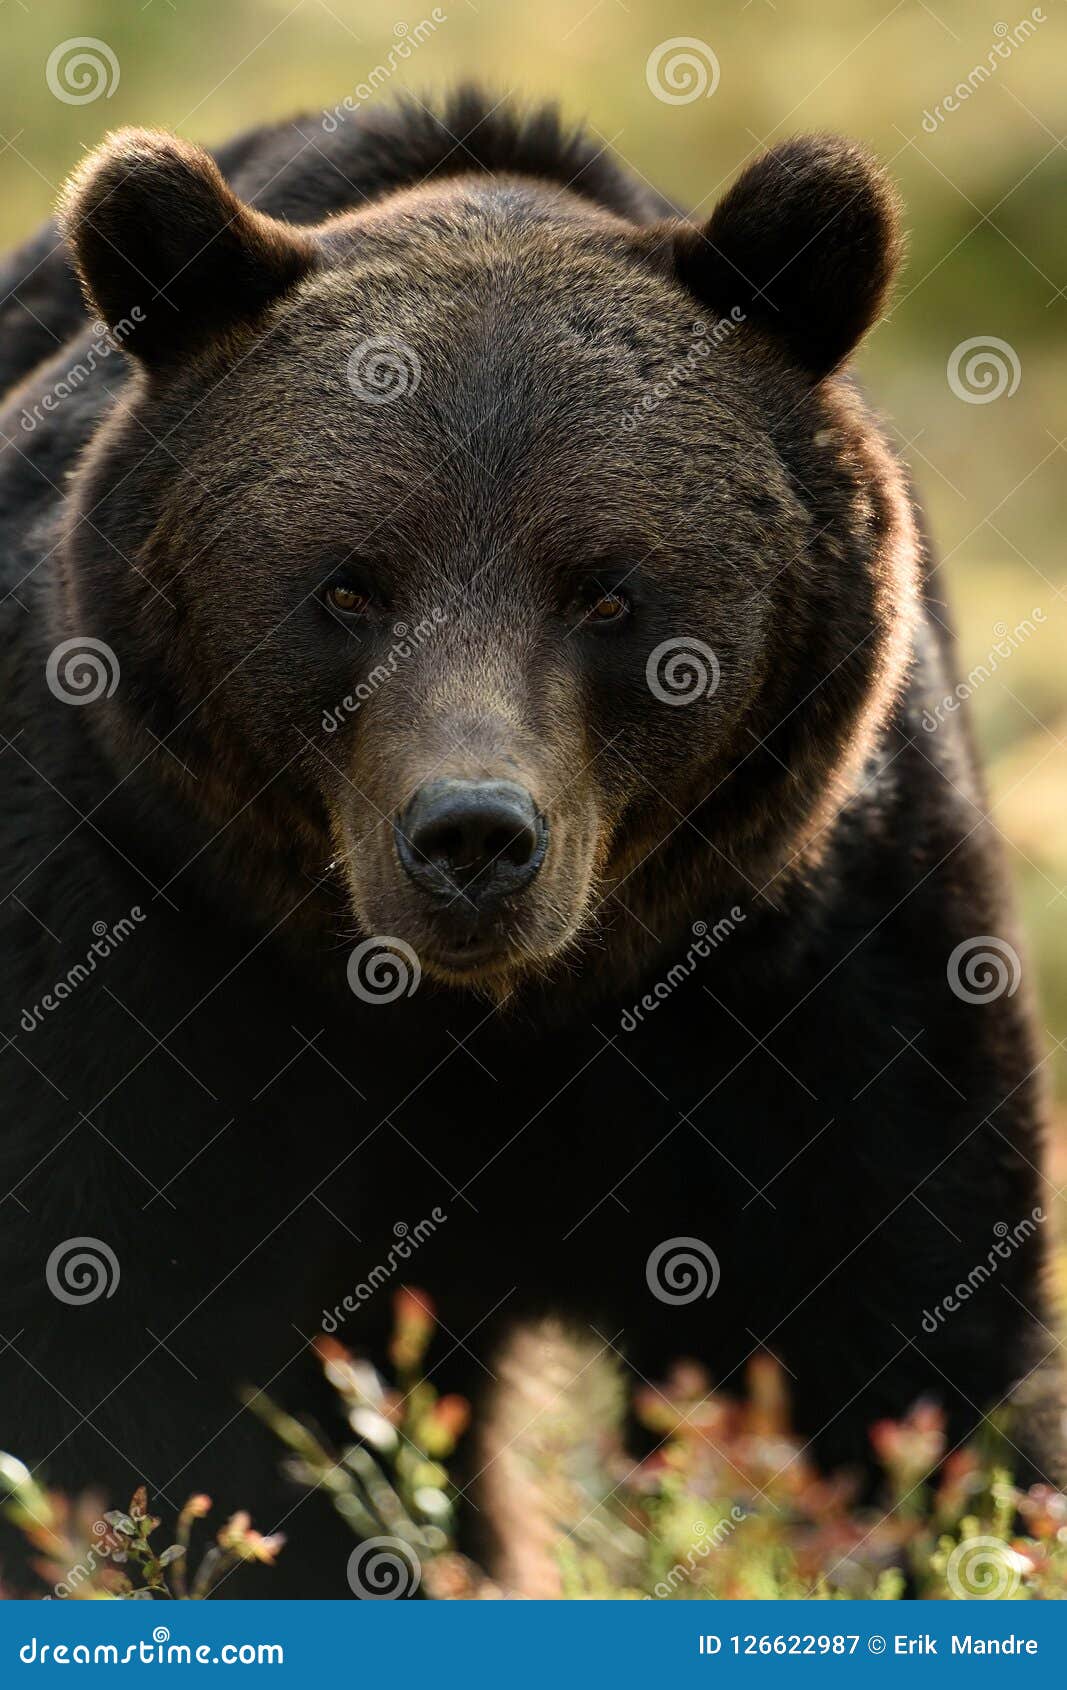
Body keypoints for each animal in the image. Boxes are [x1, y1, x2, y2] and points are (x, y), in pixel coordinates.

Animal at [0, 88, 1061, 1597]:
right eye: (348, 585)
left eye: (608, 592)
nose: (470, 835)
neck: (497, 1023)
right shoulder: (155, 946)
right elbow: (128, 1356)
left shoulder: (804, 956)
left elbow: (897, 1327)